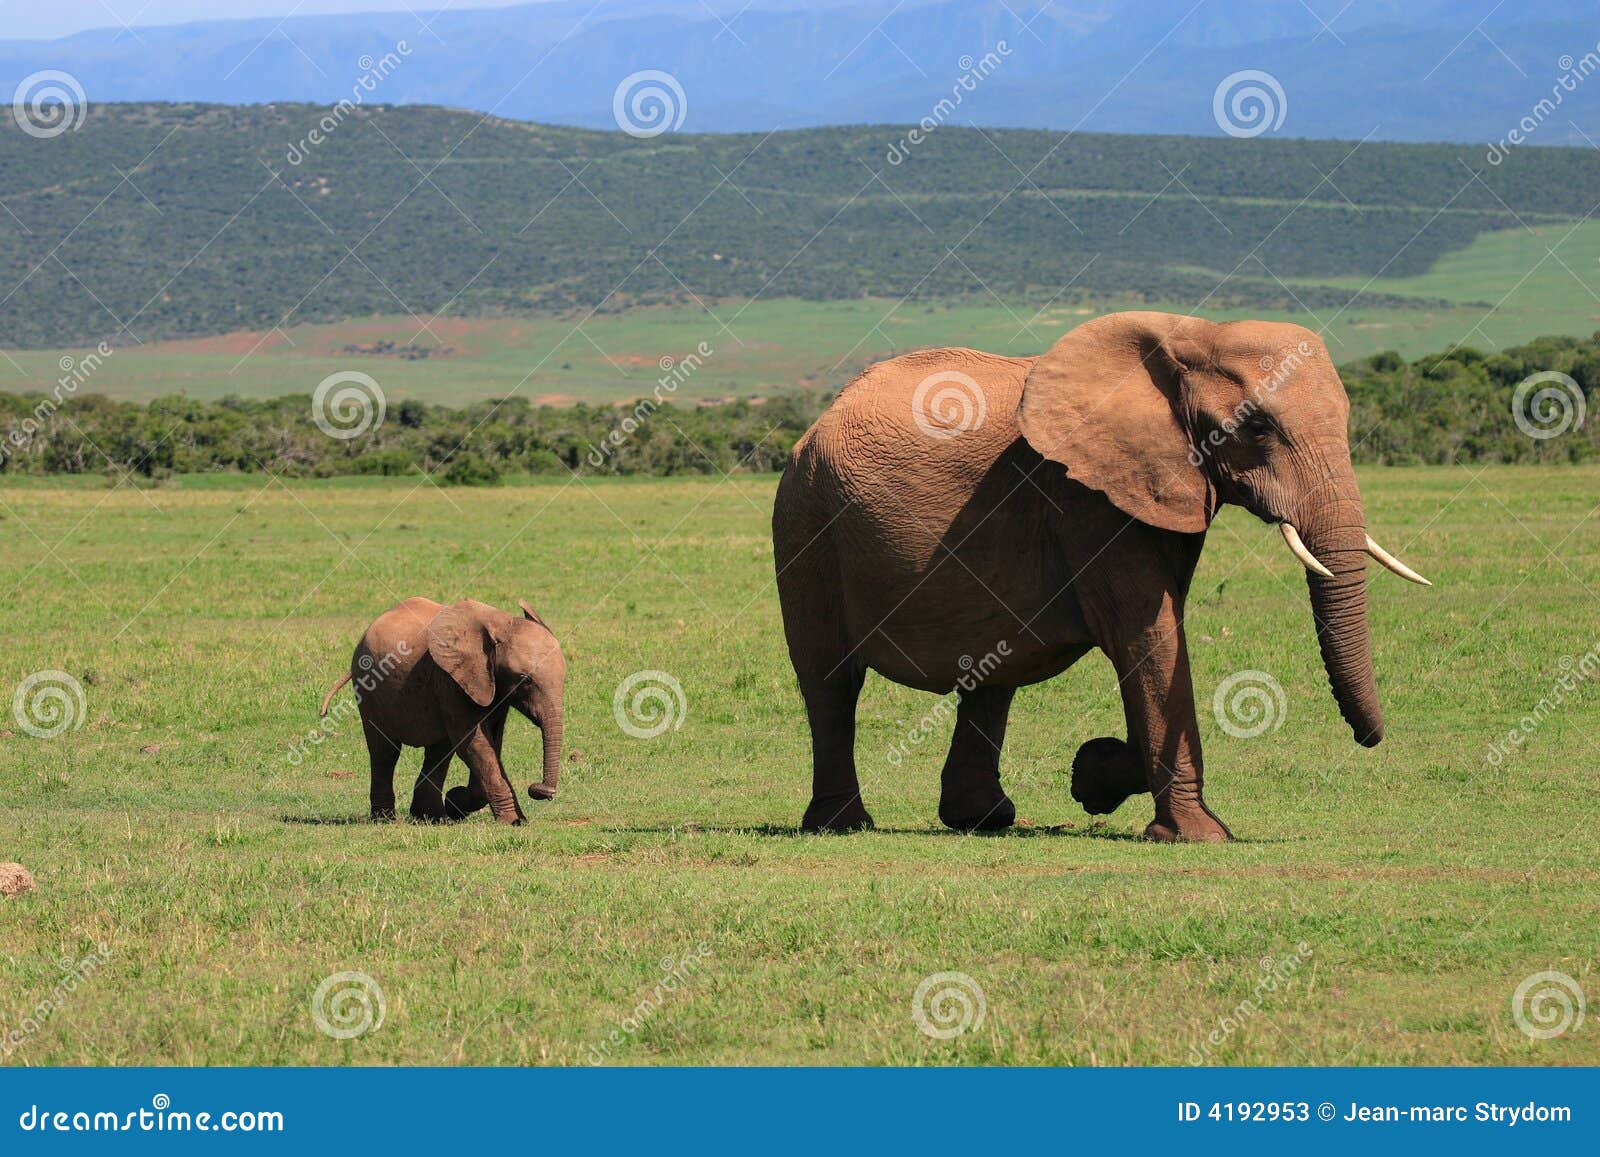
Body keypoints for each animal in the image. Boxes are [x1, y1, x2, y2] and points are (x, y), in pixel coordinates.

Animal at [319, 597, 566, 824]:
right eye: (524, 680)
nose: (540, 790)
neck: (502, 624)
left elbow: (490, 743)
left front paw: (457, 801)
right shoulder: (450, 678)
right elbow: (475, 743)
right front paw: (511, 821)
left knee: (439, 750)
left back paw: (432, 817)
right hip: (368, 686)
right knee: (385, 751)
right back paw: (386, 819)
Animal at [771, 311, 1430, 841]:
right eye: (1258, 426)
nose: (1372, 740)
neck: (1192, 334)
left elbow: (1151, 645)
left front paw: (1092, 774)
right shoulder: (1086, 500)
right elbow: (1149, 637)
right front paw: (1192, 835)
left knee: (992, 672)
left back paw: (984, 819)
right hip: (806, 522)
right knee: (831, 680)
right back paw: (843, 826)